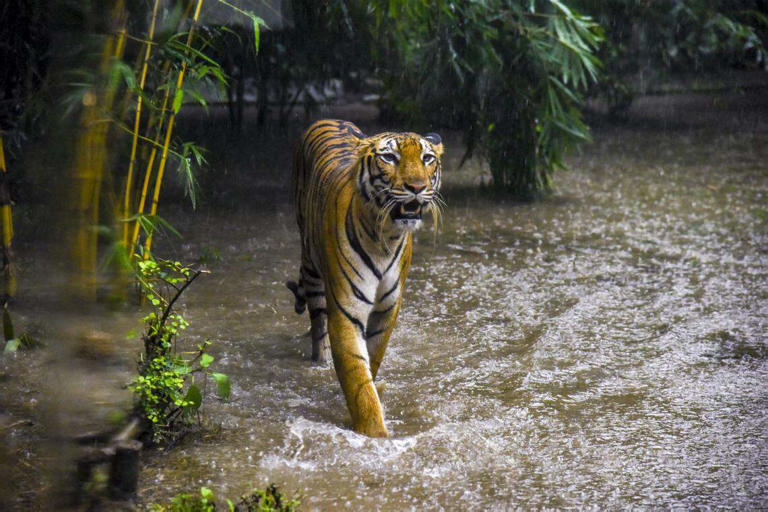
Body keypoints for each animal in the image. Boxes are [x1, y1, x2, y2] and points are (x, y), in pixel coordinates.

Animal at [286, 119, 444, 437]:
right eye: (390, 157)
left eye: (427, 158)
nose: (417, 187)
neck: (386, 237)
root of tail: (328, 120)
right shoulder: (346, 310)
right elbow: (358, 380)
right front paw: (376, 436)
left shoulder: (387, 308)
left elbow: (373, 357)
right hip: (311, 267)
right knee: (317, 323)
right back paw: (320, 359)